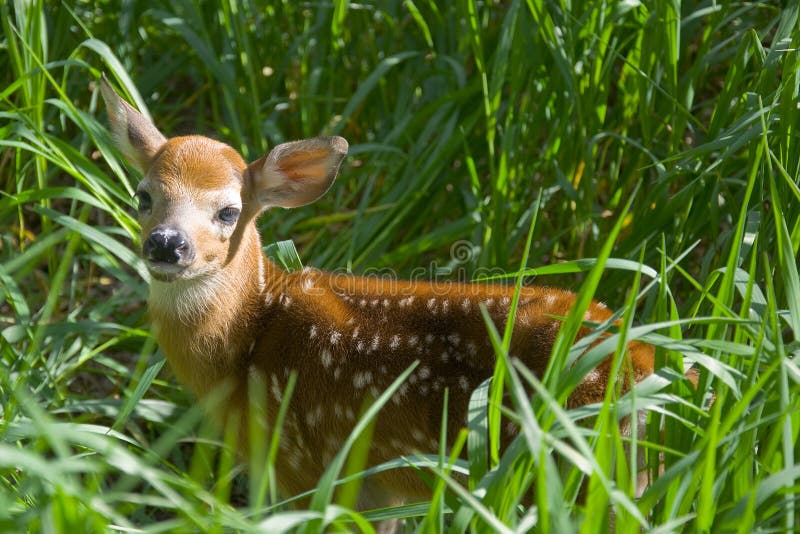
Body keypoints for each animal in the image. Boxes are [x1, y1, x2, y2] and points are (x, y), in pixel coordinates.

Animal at [98, 76, 665, 523]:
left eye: (228, 211)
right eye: (143, 196)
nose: (167, 244)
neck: (249, 342)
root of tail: (643, 363)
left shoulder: (305, 464)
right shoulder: (377, 484)